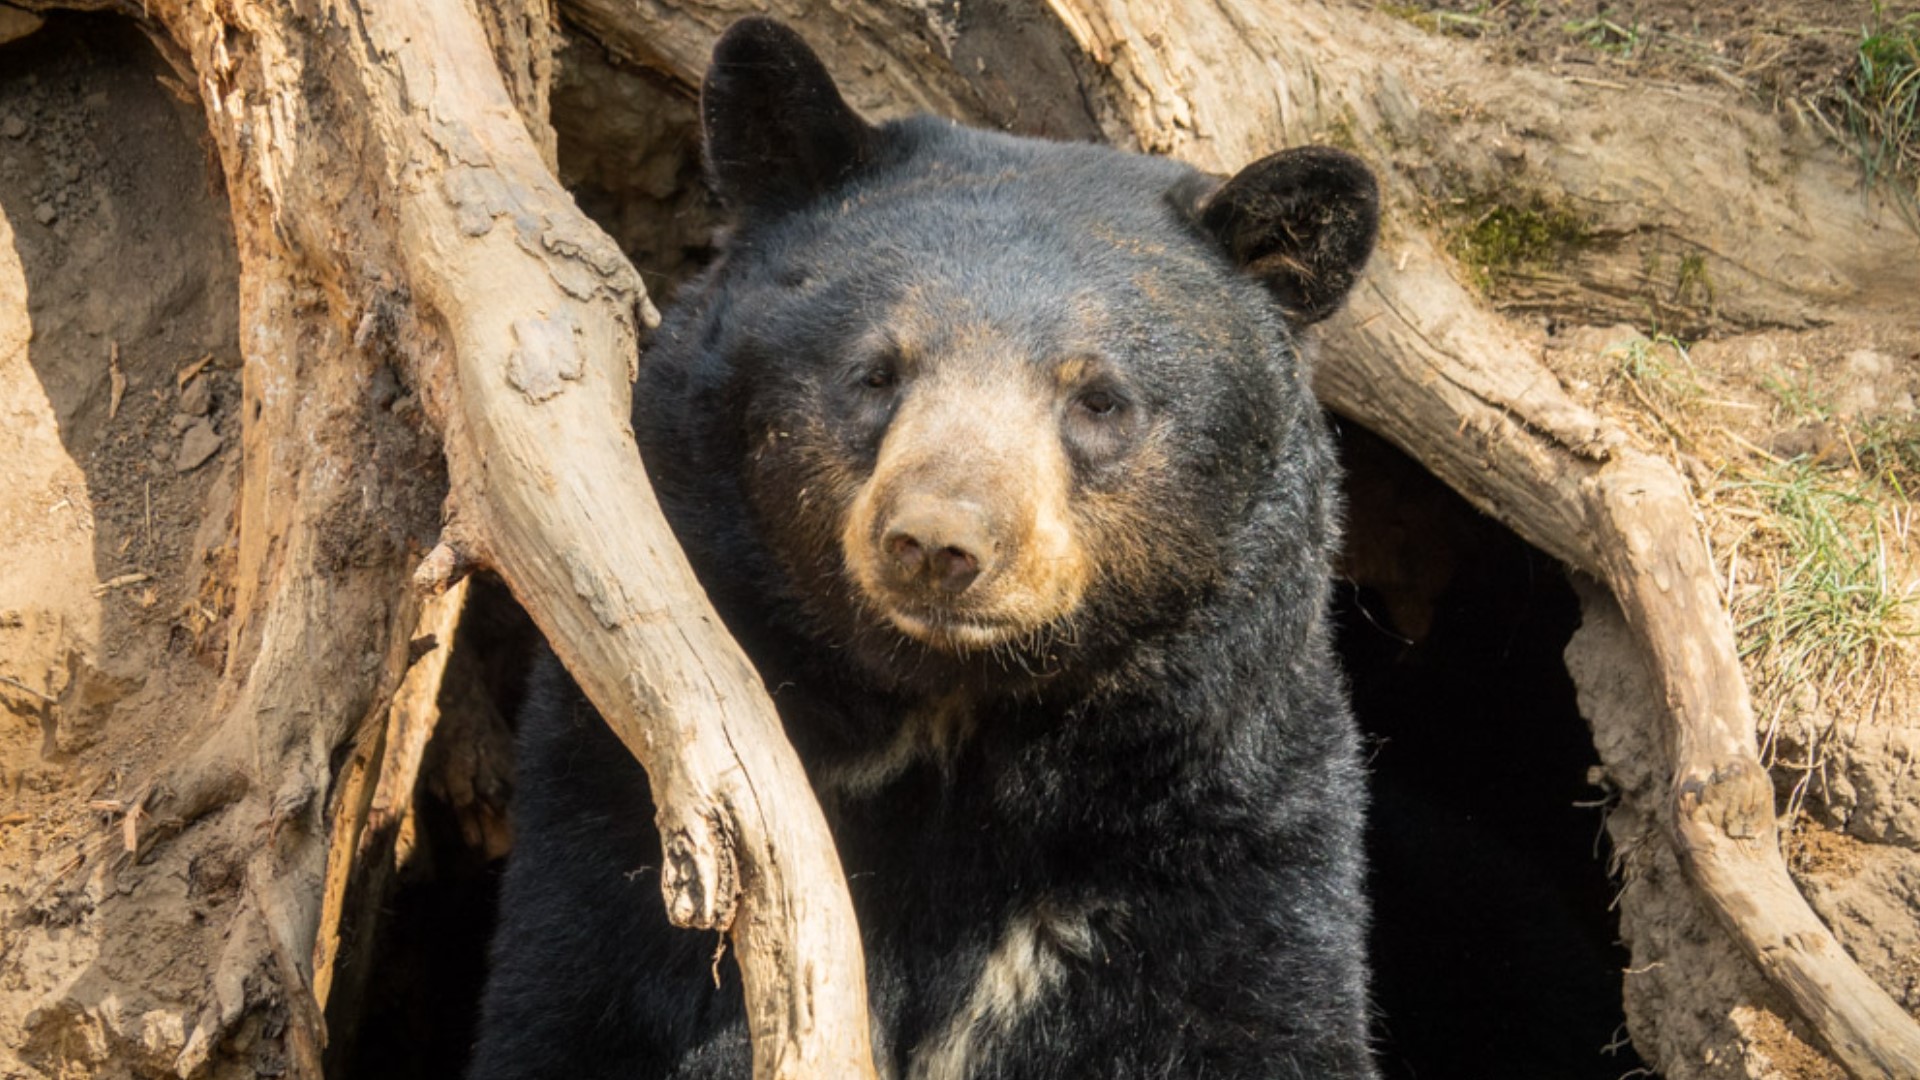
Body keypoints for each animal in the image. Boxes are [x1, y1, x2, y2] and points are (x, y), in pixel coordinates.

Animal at [470, 17, 1380, 1080]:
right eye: (876, 371)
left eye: (1099, 398)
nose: (939, 543)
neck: (955, 733)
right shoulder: (607, 835)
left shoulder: (1221, 848)